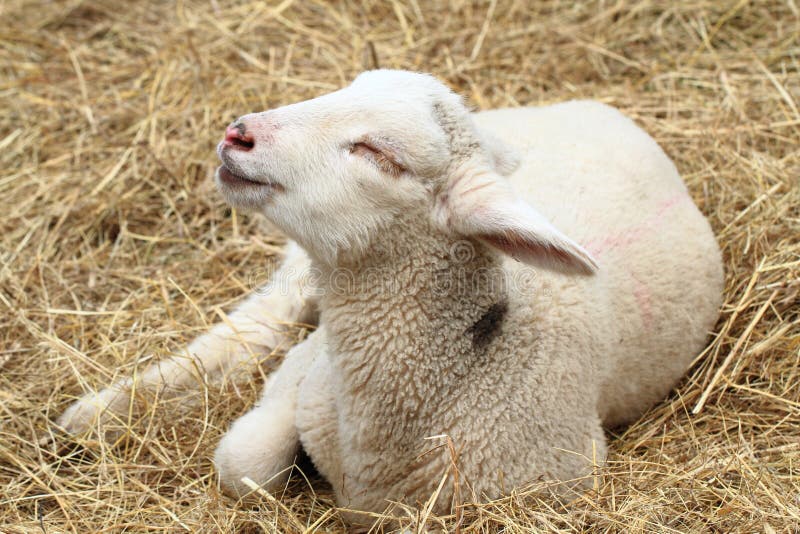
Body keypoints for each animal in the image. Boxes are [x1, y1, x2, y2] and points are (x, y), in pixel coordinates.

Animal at [58, 69, 724, 523]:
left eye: (378, 154)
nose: (238, 134)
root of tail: (600, 107)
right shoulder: (308, 369)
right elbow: (244, 464)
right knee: (260, 323)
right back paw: (100, 412)